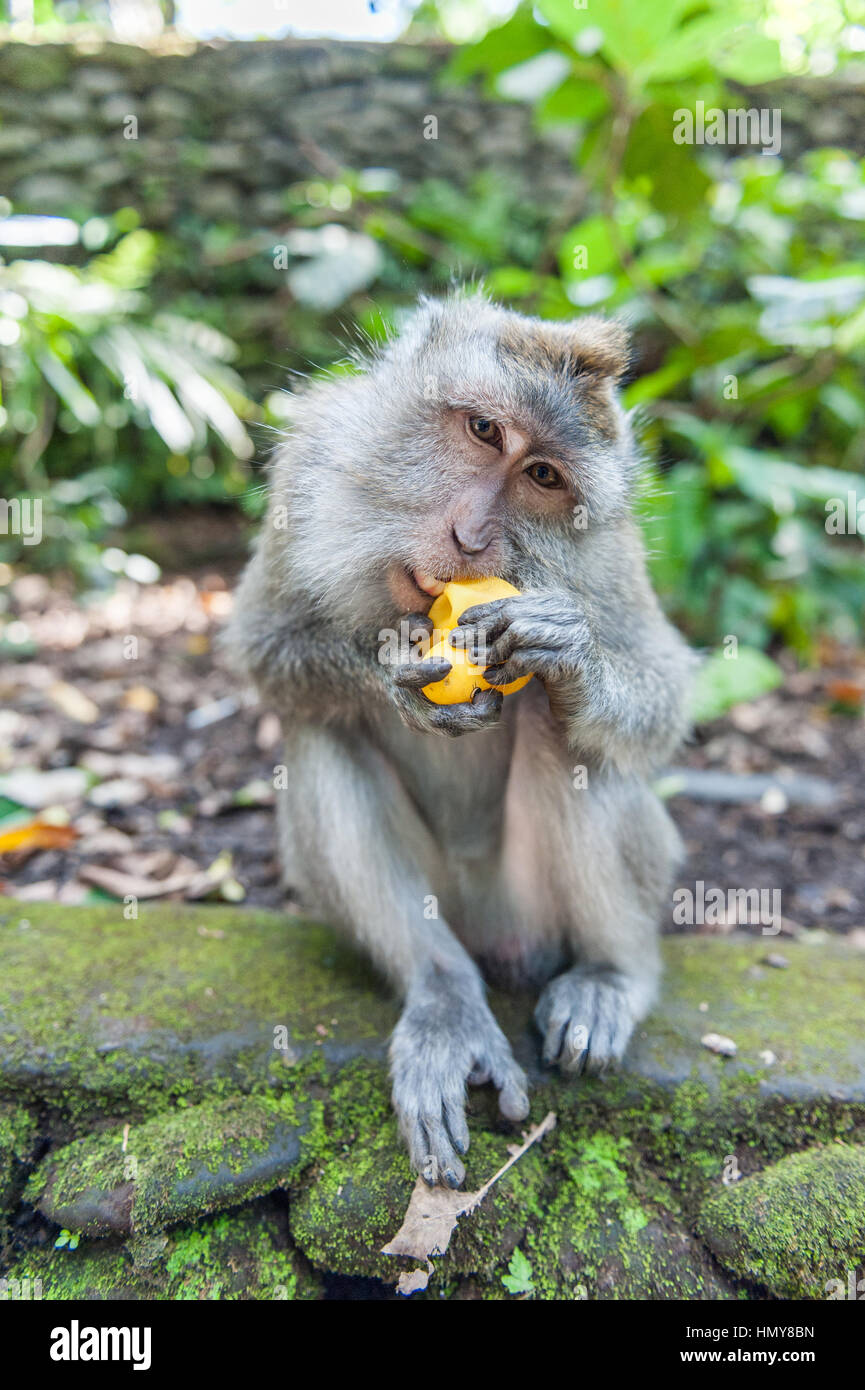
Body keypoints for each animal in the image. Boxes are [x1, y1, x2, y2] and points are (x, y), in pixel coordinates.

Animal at [226, 291, 695, 1189]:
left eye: (543, 477)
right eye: (483, 430)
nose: (472, 537)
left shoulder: (609, 548)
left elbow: (660, 691)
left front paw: (574, 659)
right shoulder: (306, 462)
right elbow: (264, 645)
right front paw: (389, 675)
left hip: (539, 907)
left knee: (573, 744)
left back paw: (612, 976)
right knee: (324, 736)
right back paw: (444, 999)